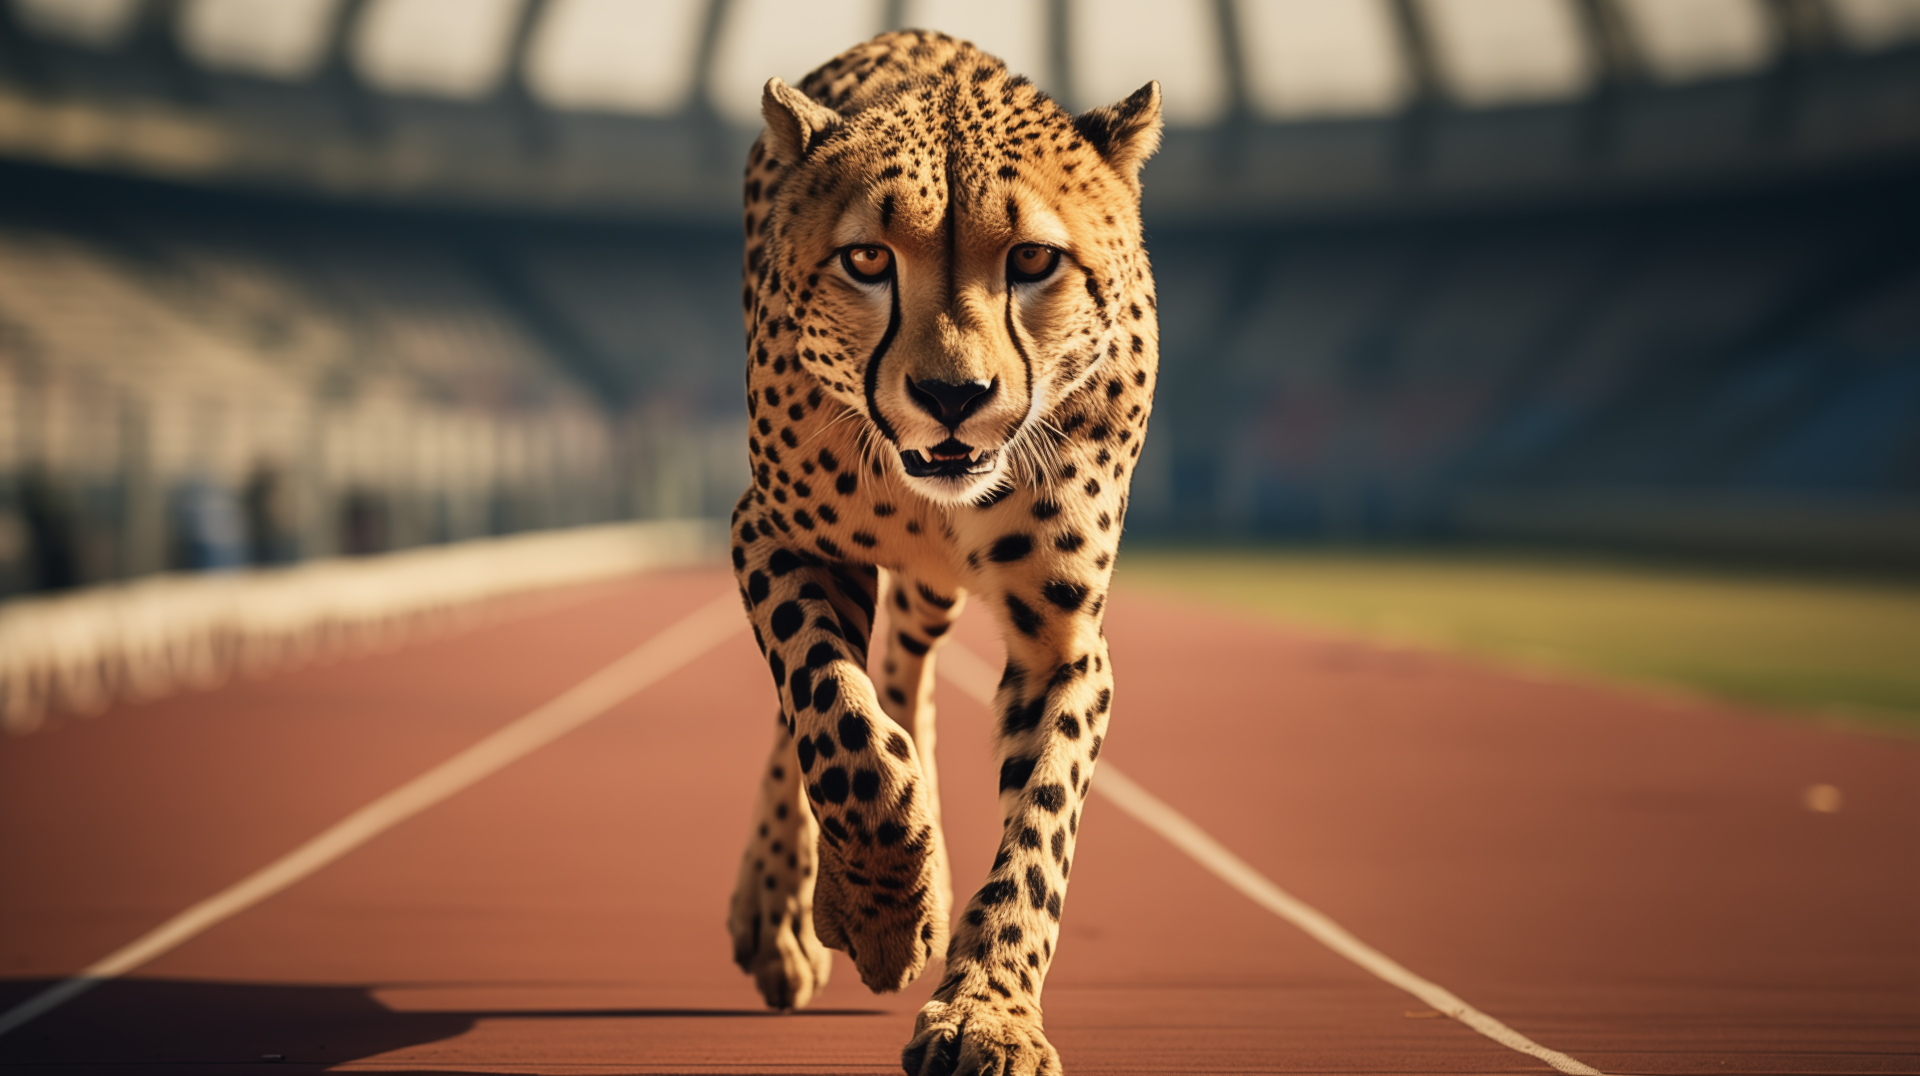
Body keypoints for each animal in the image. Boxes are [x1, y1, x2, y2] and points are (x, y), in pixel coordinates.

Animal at [724, 29, 1161, 1076]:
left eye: (1034, 259)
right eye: (867, 259)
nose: (953, 395)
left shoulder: (1062, 644)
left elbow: (1041, 830)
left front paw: (988, 1012)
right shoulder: (772, 531)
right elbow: (832, 720)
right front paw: (882, 905)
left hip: (933, 596)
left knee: (905, 665)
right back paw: (789, 903)